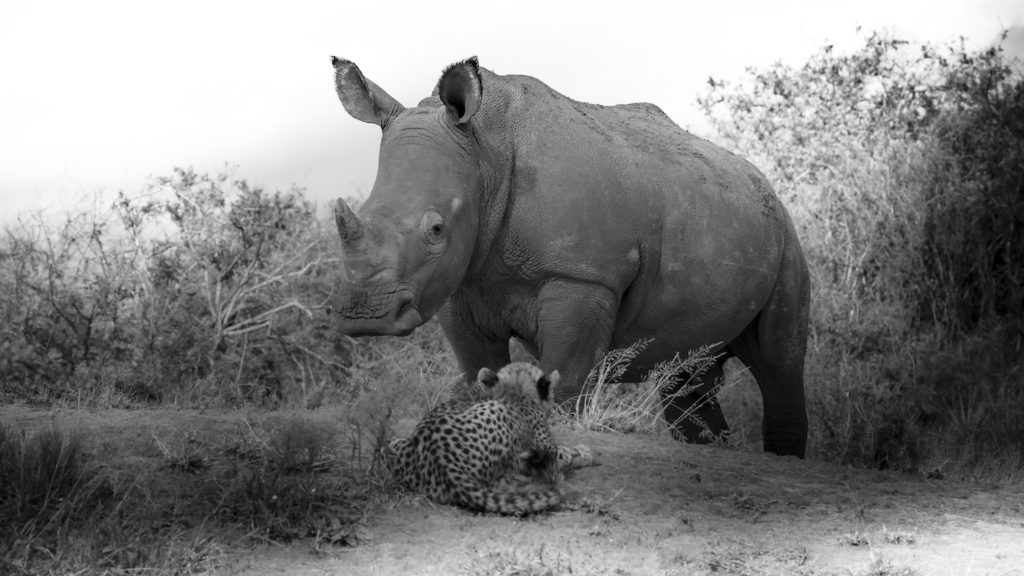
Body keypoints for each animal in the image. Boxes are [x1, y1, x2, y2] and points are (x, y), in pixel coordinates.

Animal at [328, 56, 810, 458]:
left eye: (436, 230)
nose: (366, 317)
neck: (484, 153)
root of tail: (761, 180)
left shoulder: (582, 277)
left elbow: (563, 381)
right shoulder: (461, 284)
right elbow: (480, 371)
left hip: (785, 231)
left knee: (779, 363)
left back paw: (784, 460)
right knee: (686, 376)